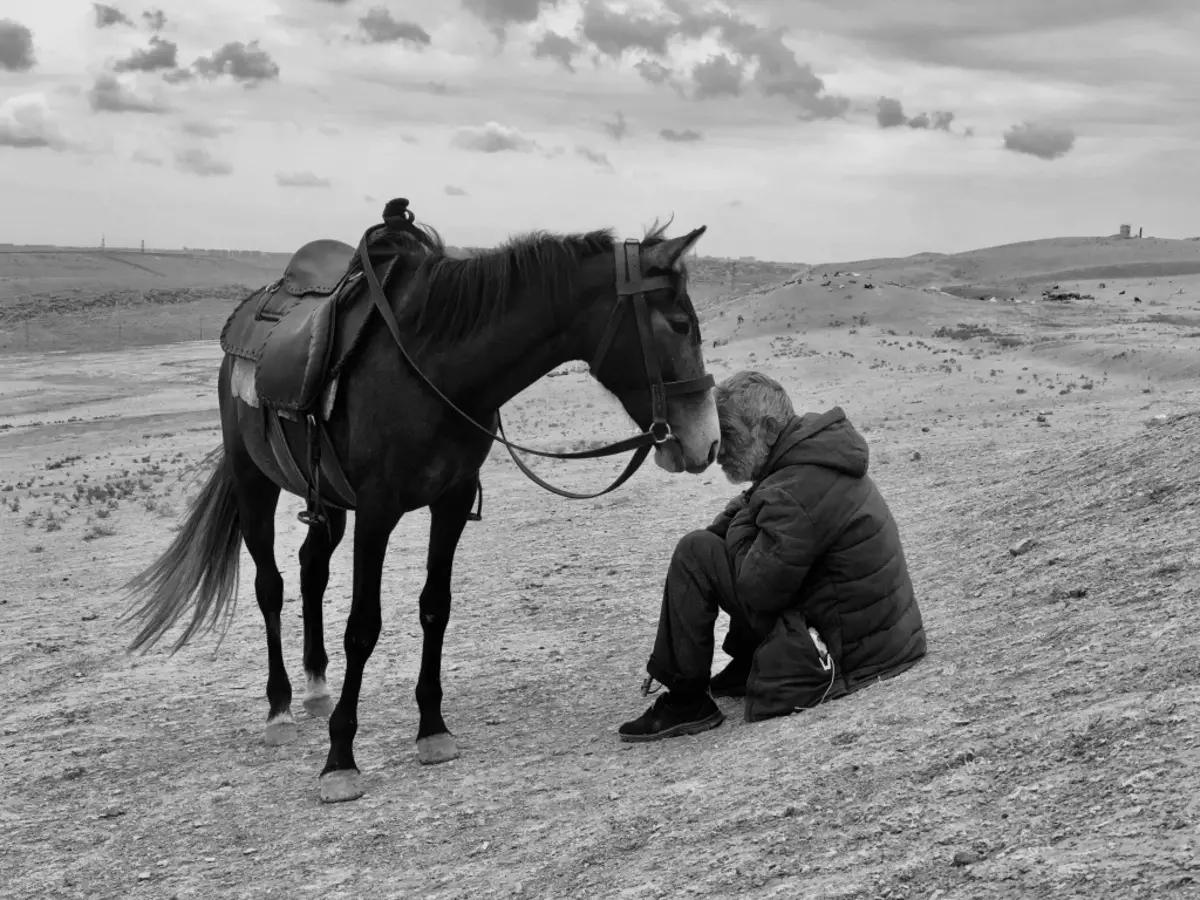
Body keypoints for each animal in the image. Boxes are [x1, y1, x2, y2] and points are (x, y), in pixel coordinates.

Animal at [121, 206, 715, 801]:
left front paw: (432, 729)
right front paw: (340, 760)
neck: (434, 368)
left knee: (312, 570)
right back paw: (281, 709)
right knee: (271, 586)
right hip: (254, 483)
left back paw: (315, 686)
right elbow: (362, 626)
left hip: (327, 500)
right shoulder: (377, 511)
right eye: (680, 325)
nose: (706, 442)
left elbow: (435, 608)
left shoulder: (450, 503)